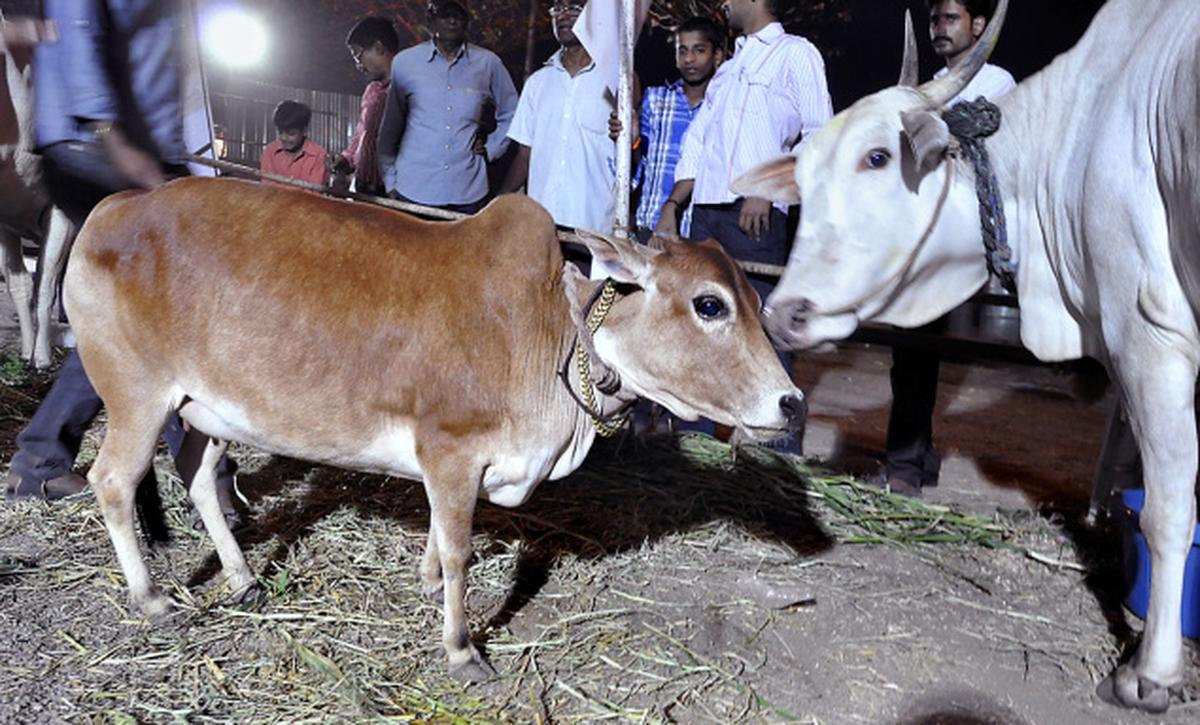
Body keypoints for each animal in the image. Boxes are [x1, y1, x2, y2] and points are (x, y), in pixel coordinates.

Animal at [62, 177, 806, 681]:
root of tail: (113, 207)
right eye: (708, 304)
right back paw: (152, 598)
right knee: (113, 480)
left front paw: (424, 584)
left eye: (754, 297)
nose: (792, 403)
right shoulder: (450, 447)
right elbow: (459, 551)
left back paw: (244, 576)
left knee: (198, 478)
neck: (551, 334)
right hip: (136, 396)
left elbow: (439, 538)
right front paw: (461, 647)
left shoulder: (452, 466)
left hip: (202, 408)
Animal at [732, 0, 1199, 712]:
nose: (783, 313)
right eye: (803, 174)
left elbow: (1168, 508)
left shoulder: (1149, 329)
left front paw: (1153, 673)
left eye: (877, 157)